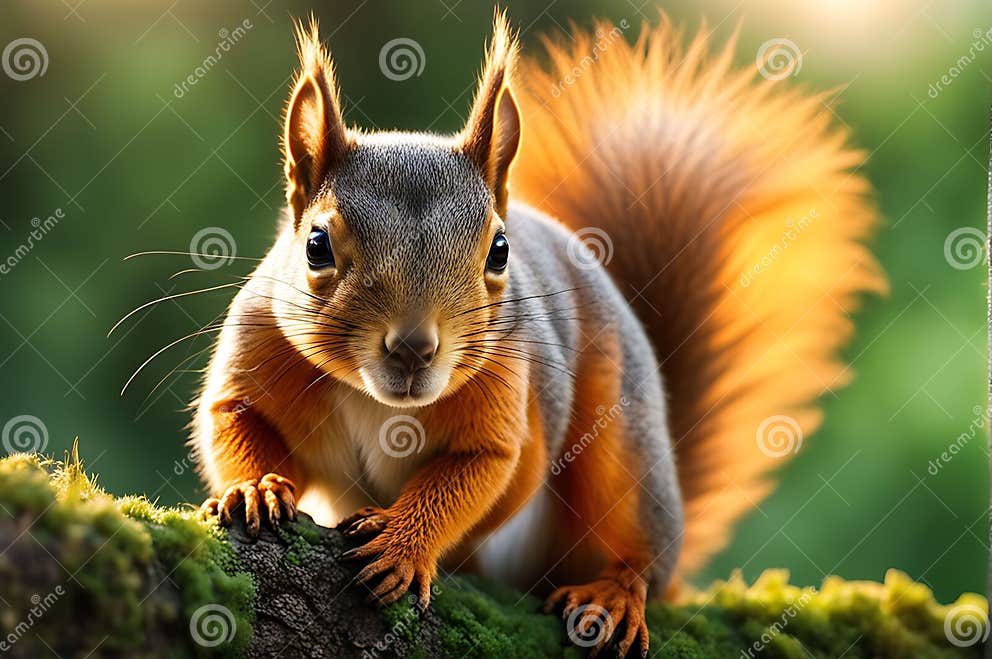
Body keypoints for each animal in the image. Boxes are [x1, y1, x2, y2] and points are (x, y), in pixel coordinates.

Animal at [192, 11, 885, 657]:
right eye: (316, 245)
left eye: (500, 250)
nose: (414, 348)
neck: (377, 402)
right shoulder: (256, 355)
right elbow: (235, 423)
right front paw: (256, 488)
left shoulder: (508, 403)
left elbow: (475, 477)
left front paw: (402, 543)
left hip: (624, 445)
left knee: (642, 552)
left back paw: (614, 594)